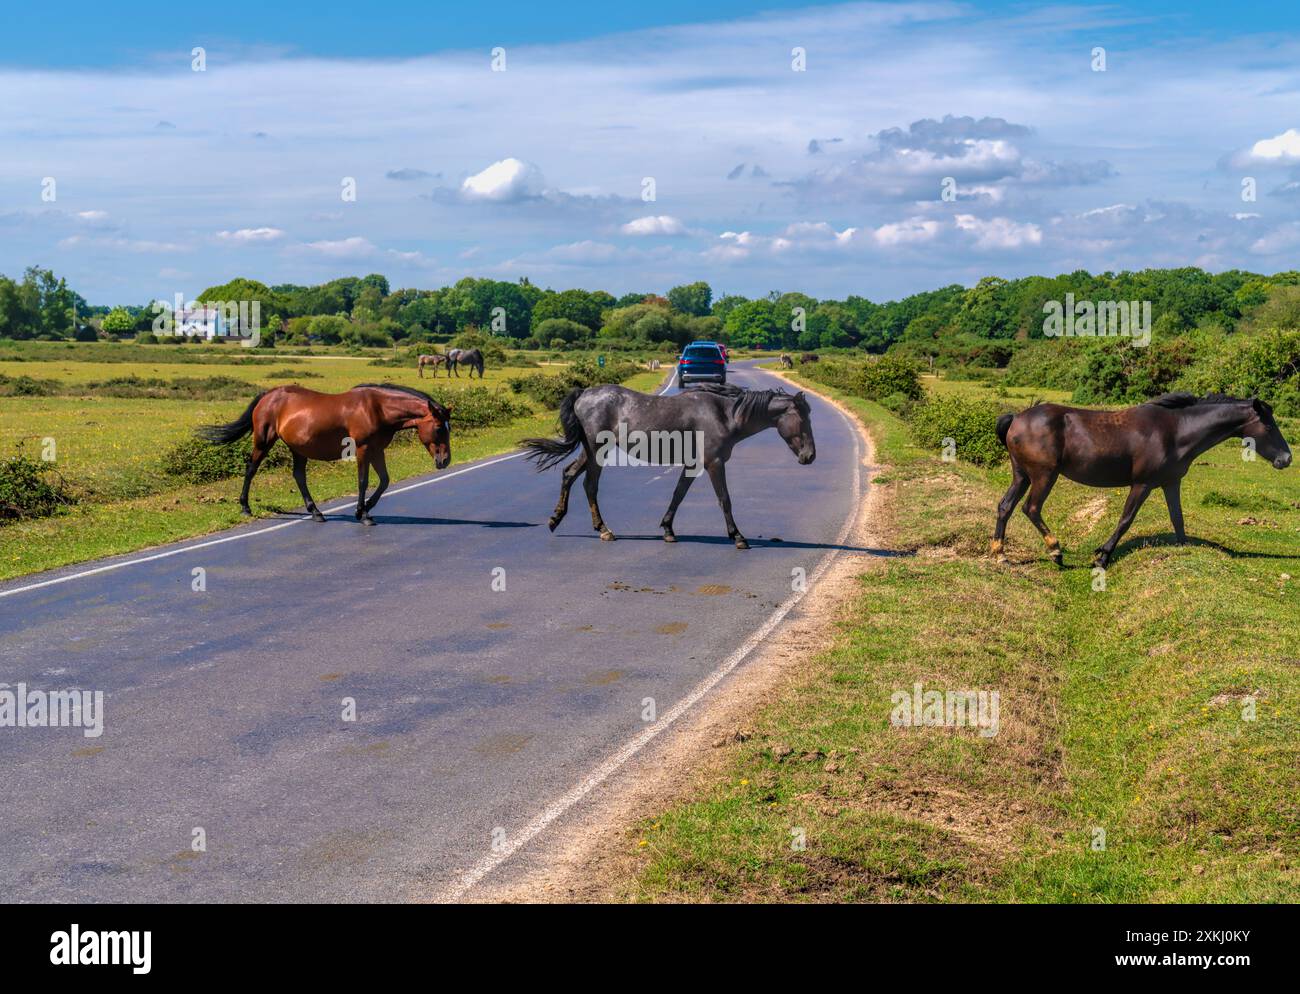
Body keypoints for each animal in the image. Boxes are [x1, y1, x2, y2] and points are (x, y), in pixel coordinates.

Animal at [197, 383, 452, 526]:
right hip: (263, 440)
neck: (377, 408)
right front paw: (363, 514)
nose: (445, 460)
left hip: (298, 449)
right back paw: (245, 507)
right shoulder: (363, 449)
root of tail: (268, 395)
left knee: (299, 476)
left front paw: (363, 509)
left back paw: (316, 512)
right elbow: (363, 481)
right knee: (251, 468)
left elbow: (384, 481)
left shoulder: (377, 450)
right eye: (440, 428)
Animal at [521, 382, 815, 548]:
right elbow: (724, 499)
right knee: (589, 484)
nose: (810, 456)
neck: (724, 414)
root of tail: (584, 394)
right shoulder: (714, 463)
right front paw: (738, 536)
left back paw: (558, 520)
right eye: (803, 419)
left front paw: (668, 530)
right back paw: (603, 530)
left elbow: (678, 494)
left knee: (570, 475)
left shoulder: (694, 464)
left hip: (591, 451)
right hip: (596, 451)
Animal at [992, 392, 1292, 568]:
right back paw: (1055, 550)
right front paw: (1103, 556)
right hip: (1044, 475)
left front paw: (1184, 548)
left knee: (1005, 507)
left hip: (1022, 475)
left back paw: (1000, 554)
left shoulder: (1171, 483)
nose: (1286, 459)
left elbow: (1177, 518)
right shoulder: (1143, 484)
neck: (1176, 430)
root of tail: (1016, 418)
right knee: (1031, 508)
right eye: (1268, 426)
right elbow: (1126, 519)